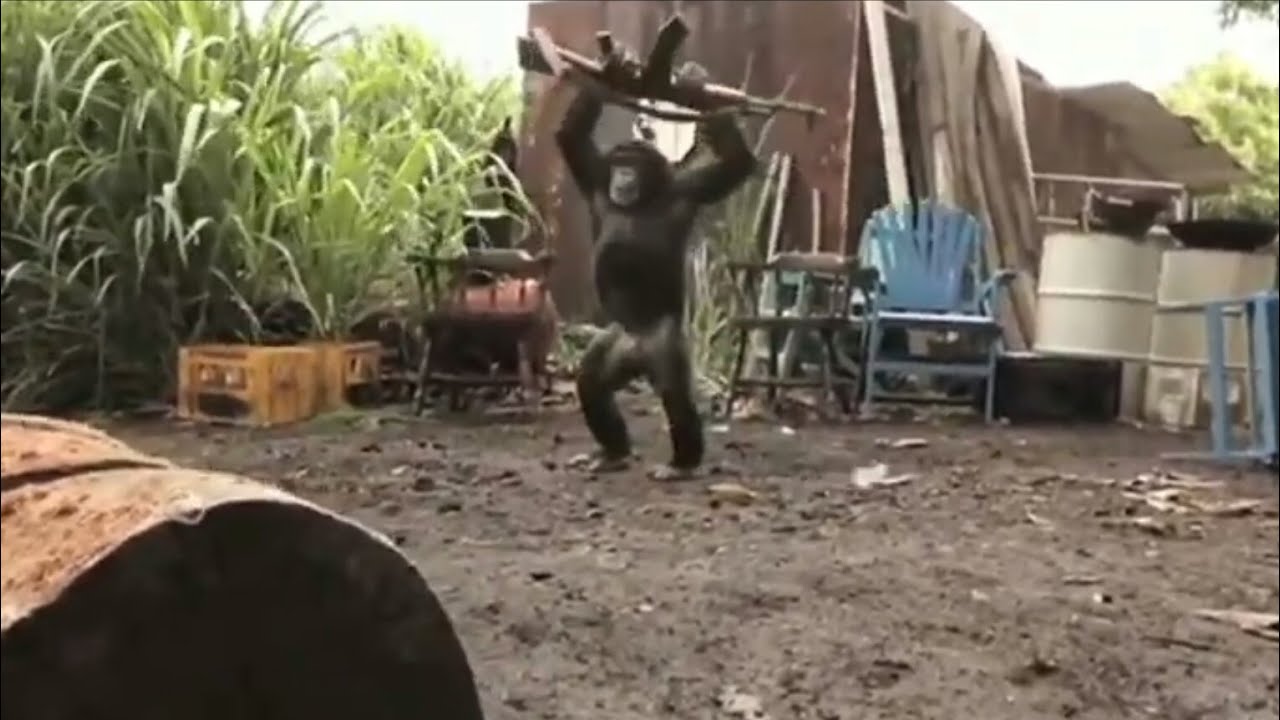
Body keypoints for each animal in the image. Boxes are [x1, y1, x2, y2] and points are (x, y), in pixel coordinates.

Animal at [555, 80, 756, 481]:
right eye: (619, 162)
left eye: (633, 163)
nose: (623, 175)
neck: (641, 199)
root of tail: (637, 349)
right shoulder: (593, 176)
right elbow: (571, 136)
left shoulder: (690, 187)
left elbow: (735, 164)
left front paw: (701, 88)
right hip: (614, 342)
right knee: (592, 383)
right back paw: (613, 452)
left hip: (665, 344)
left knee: (676, 398)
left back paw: (682, 463)